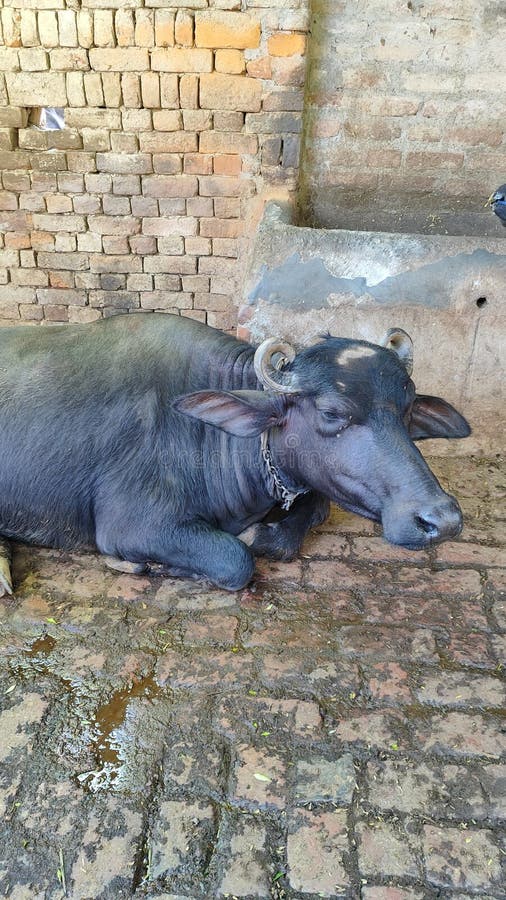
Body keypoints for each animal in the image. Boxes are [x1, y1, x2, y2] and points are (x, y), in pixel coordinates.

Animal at [0, 313, 470, 595]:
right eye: (332, 413)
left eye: (407, 408)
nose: (441, 519)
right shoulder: (131, 527)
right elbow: (236, 558)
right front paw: (144, 567)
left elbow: (310, 514)